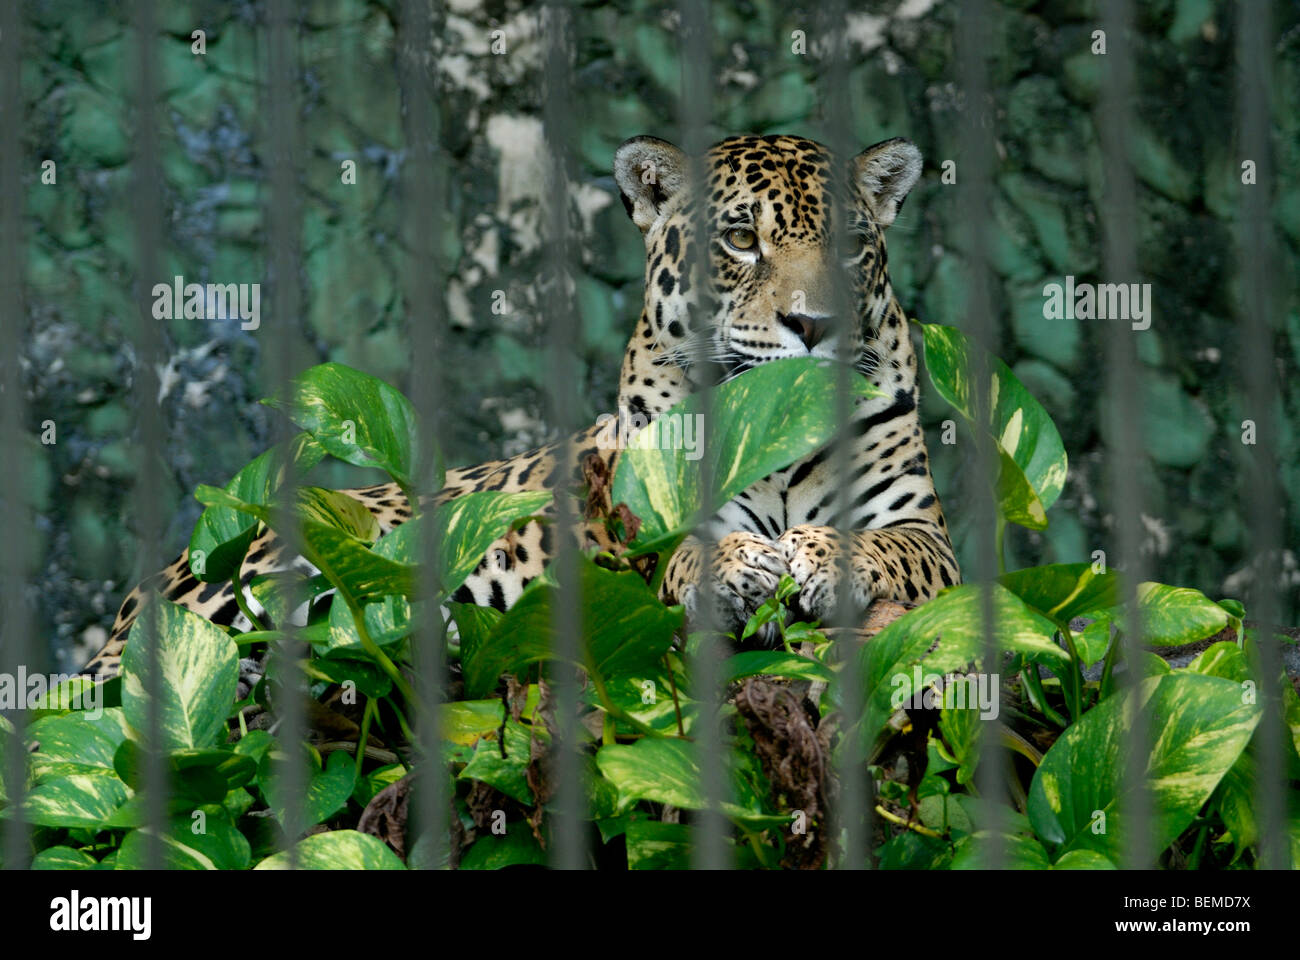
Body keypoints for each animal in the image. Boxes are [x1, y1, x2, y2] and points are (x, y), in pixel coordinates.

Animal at [81, 132, 960, 681]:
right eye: (742, 240)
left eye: (852, 248)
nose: (815, 325)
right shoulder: (646, 526)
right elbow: (684, 554)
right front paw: (738, 568)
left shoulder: (926, 533)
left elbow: (889, 548)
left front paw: (821, 556)